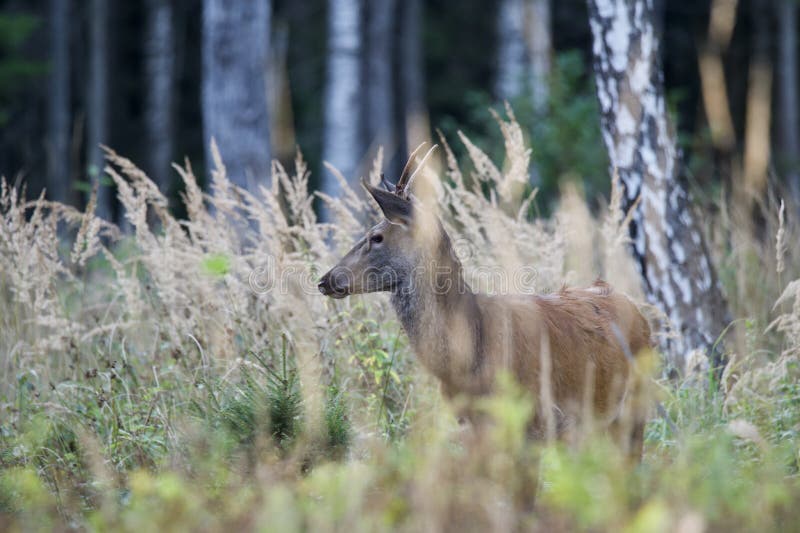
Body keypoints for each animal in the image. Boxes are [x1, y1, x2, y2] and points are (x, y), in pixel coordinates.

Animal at [318, 144, 653, 460]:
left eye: (376, 237)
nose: (325, 279)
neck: (471, 350)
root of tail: (641, 314)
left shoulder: (533, 419)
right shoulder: (472, 424)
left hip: (634, 410)